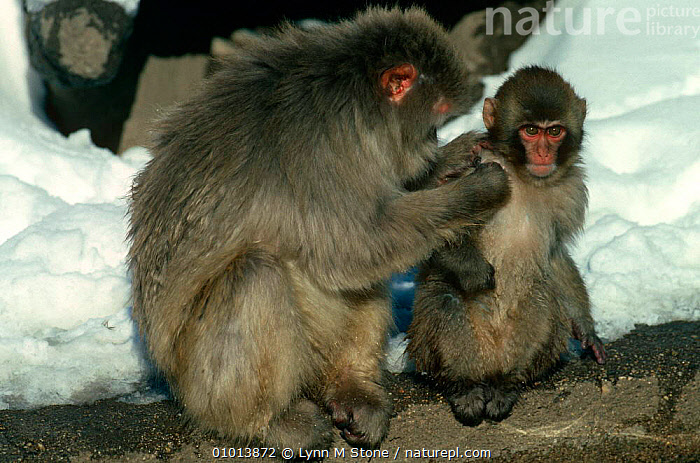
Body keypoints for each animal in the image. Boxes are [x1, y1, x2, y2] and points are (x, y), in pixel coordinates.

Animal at [127, 7, 510, 452]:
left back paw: (350, 387)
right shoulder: (324, 149)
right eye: (433, 121)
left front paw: (449, 163)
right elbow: (353, 247)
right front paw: (479, 189)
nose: (432, 144)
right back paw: (267, 422)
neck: (358, 98)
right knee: (259, 274)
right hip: (198, 382)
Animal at [407, 66, 606, 427]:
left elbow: (554, 256)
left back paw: (508, 384)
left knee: (542, 297)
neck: (522, 175)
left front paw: (586, 329)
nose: (542, 153)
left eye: (554, 131)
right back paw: (464, 387)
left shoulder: (570, 190)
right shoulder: (476, 167)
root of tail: (491, 362)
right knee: (445, 297)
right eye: (530, 131)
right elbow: (427, 223)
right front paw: (475, 272)